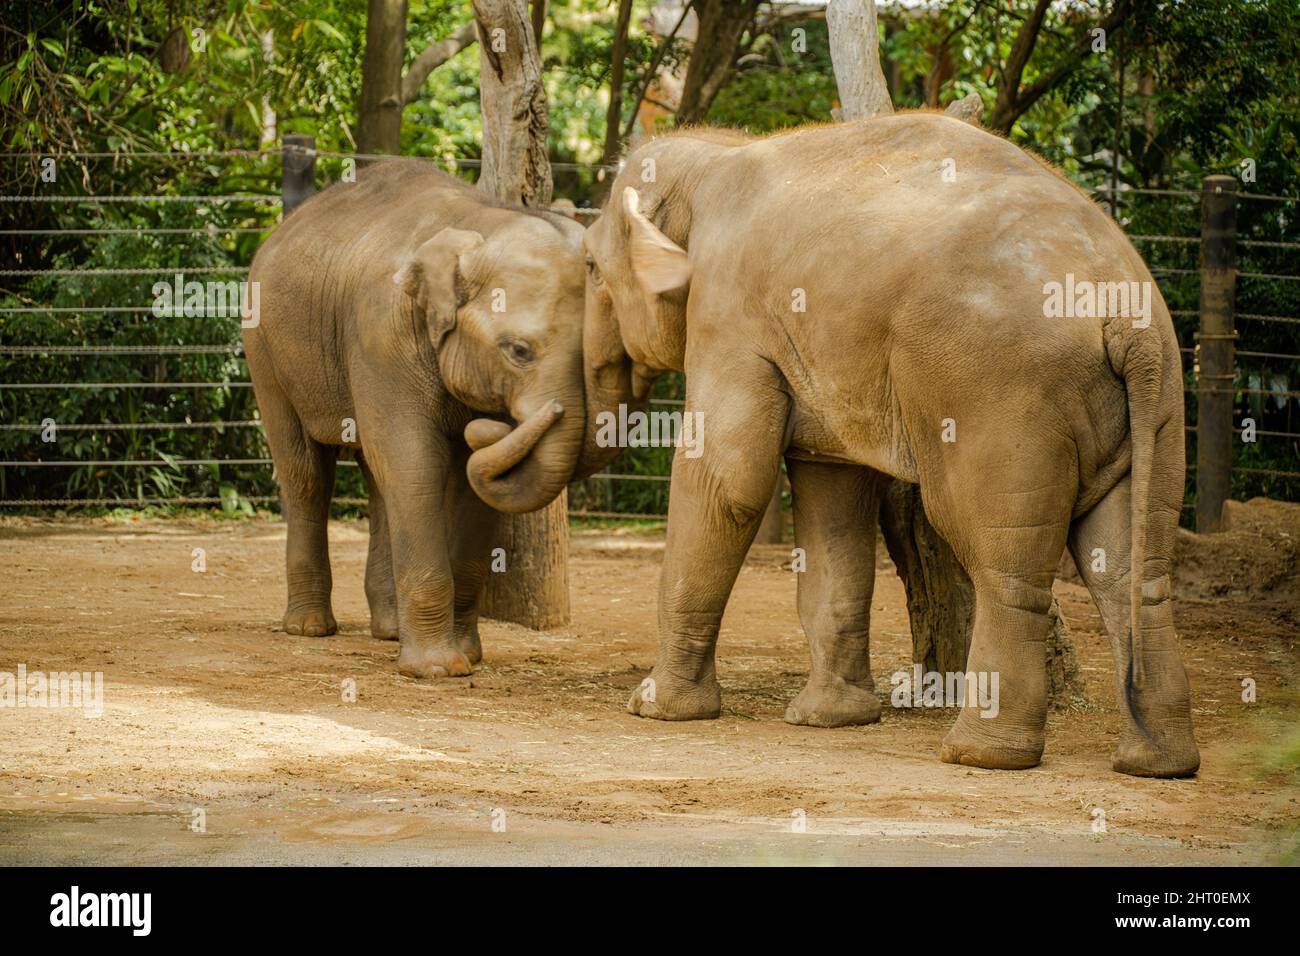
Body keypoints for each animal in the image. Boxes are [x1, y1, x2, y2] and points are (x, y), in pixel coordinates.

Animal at [245, 160, 586, 678]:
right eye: (519, 351)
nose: (504, 424)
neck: (482, 219)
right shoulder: (382, 335)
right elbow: (415, 463)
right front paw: (438, 670)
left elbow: (472, 481)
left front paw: (466, 657)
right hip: (264, 348)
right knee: (306, 473)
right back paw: (308, 628)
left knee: (377, 480)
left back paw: (388, 631)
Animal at [579, 113, 1199, 778]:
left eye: (589, 267)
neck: (716, 154)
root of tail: (1122, 312)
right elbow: (833, 497)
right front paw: (831, 719)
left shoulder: (730, 318)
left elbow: (728, 481)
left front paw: (653, 707)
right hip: (1160, 400)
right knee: (1133, 567)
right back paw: (1158, 762)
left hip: (1002, 395)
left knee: (1004, 559)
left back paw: (979, 753)